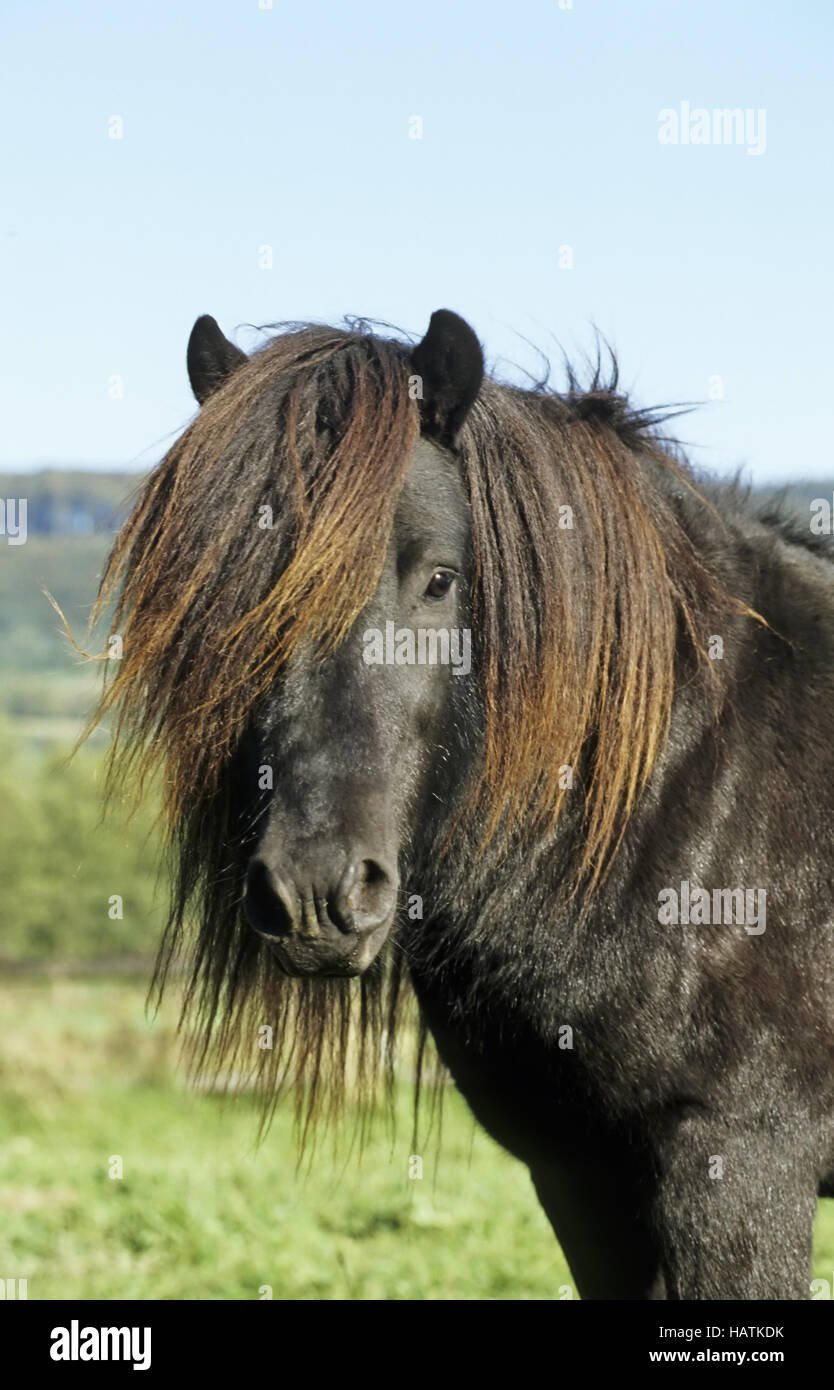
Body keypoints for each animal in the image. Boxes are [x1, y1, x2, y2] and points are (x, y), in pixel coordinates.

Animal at [90, 307, 834, 1300]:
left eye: (440, 580)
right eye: (229, 589)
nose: (315, 894)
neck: (690, 788)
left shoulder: (741, 1165)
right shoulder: (578, 1178)